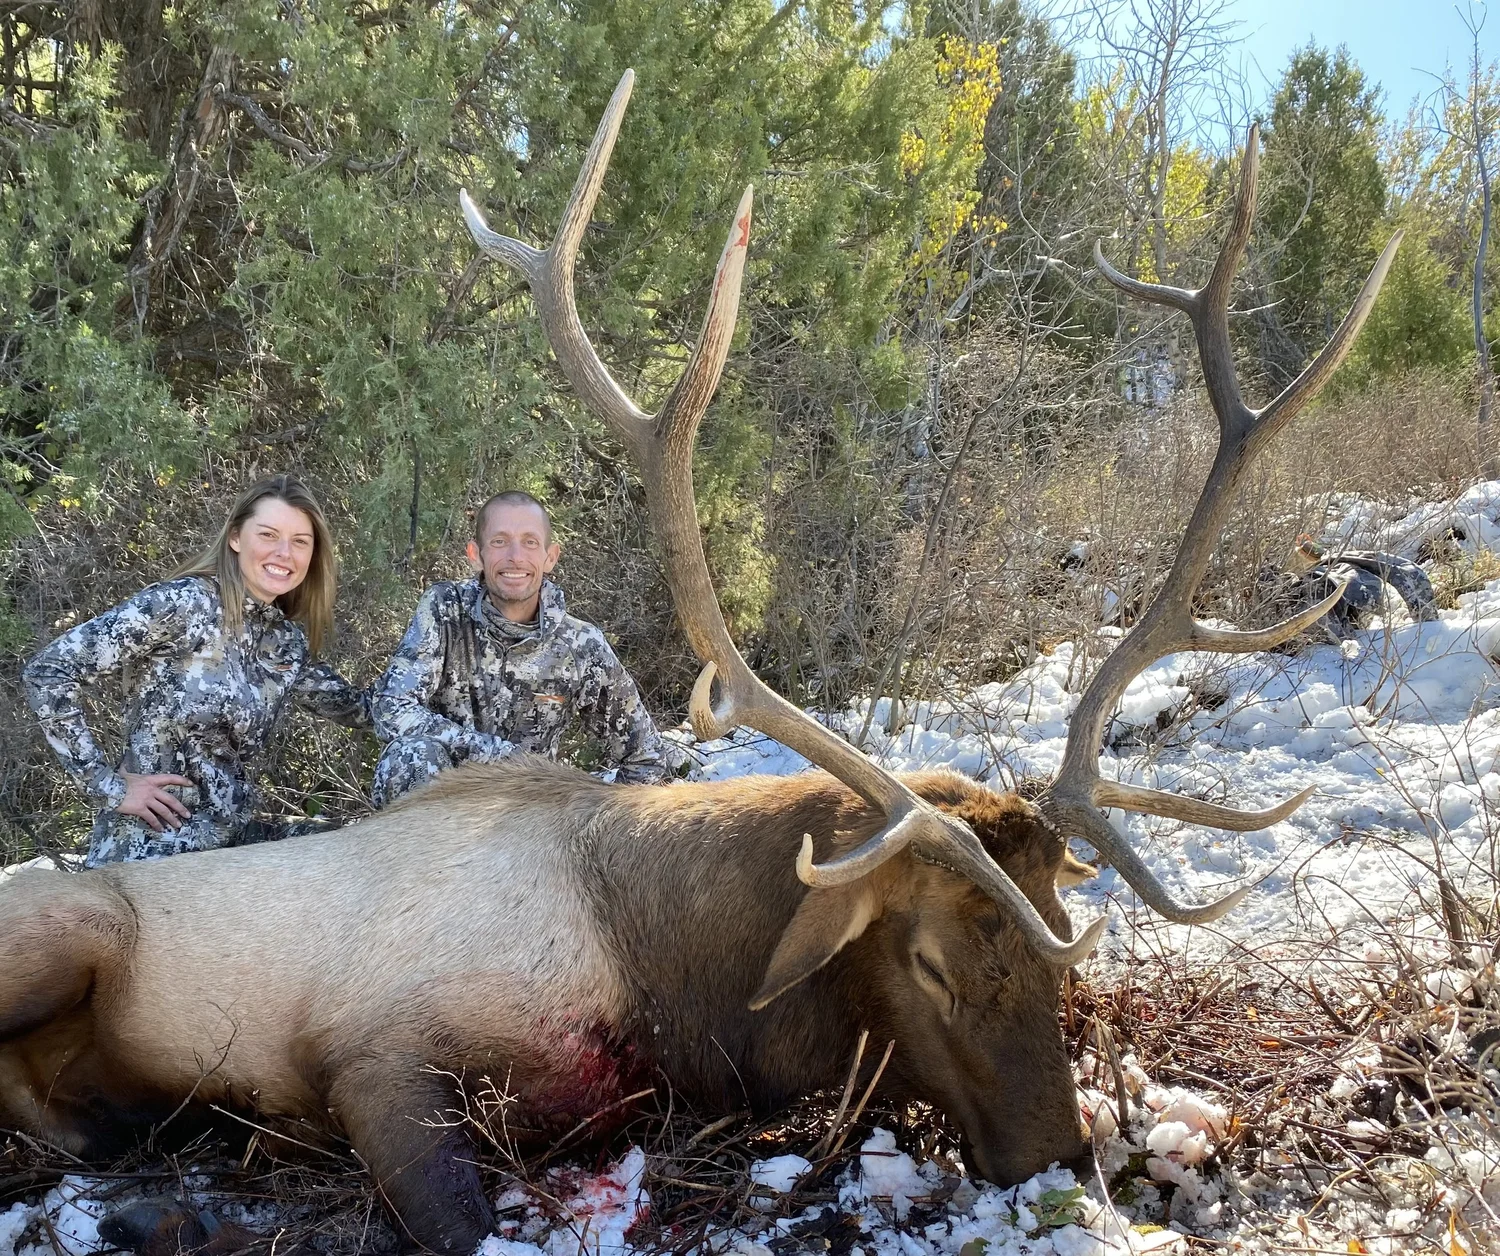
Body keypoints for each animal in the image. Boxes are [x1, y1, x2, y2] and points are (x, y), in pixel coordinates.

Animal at [0, 70, 1396, 1256]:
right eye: (932, 962)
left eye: (1064, 942)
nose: (1060, 1157)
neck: (661, 970)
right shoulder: (370, 1044)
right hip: (65, 926)